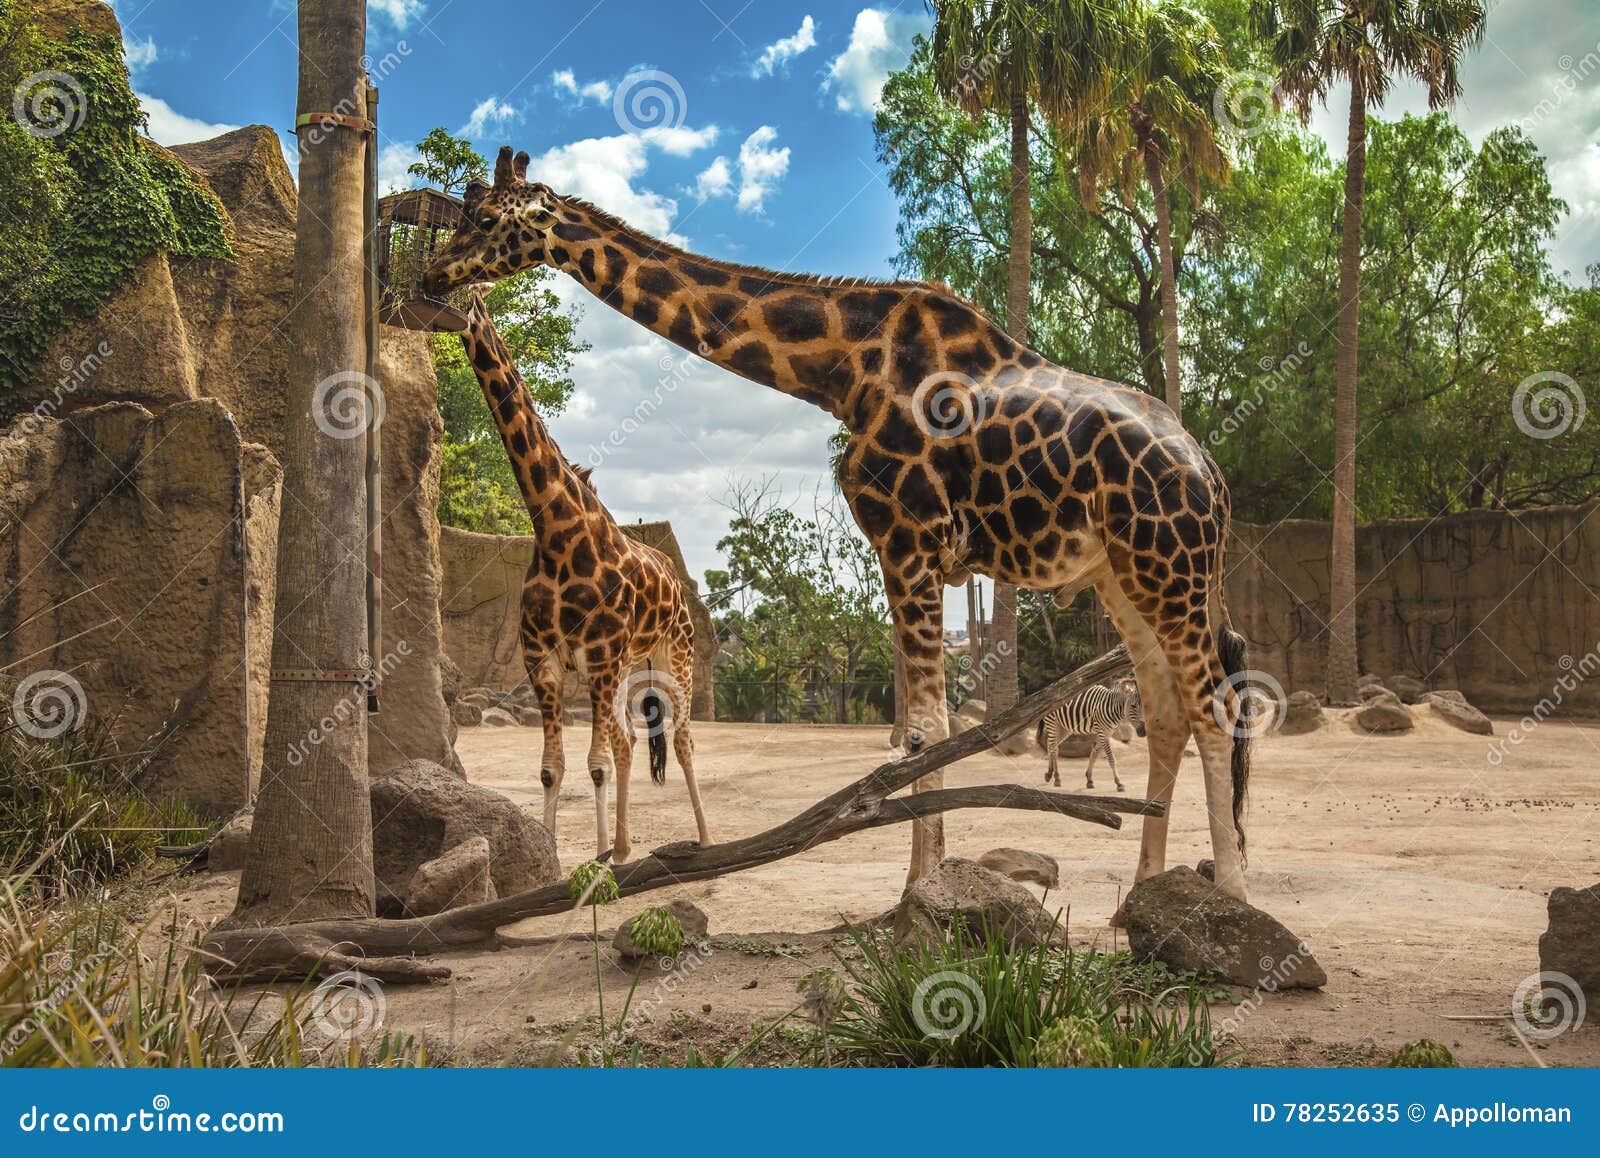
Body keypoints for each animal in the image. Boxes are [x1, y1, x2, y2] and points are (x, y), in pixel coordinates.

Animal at [455, 292, 712, 864]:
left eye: (460, 290)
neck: (555, 530)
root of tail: (674, 577)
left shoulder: (596, 656)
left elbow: (595, 764)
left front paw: (595, 864)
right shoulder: (545, 661)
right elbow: (553, 768)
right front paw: (557, 859)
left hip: (672, 654)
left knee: (682, 739)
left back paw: (707, 840)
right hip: (625, 666)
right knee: (629, 741)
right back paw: (622, 846)